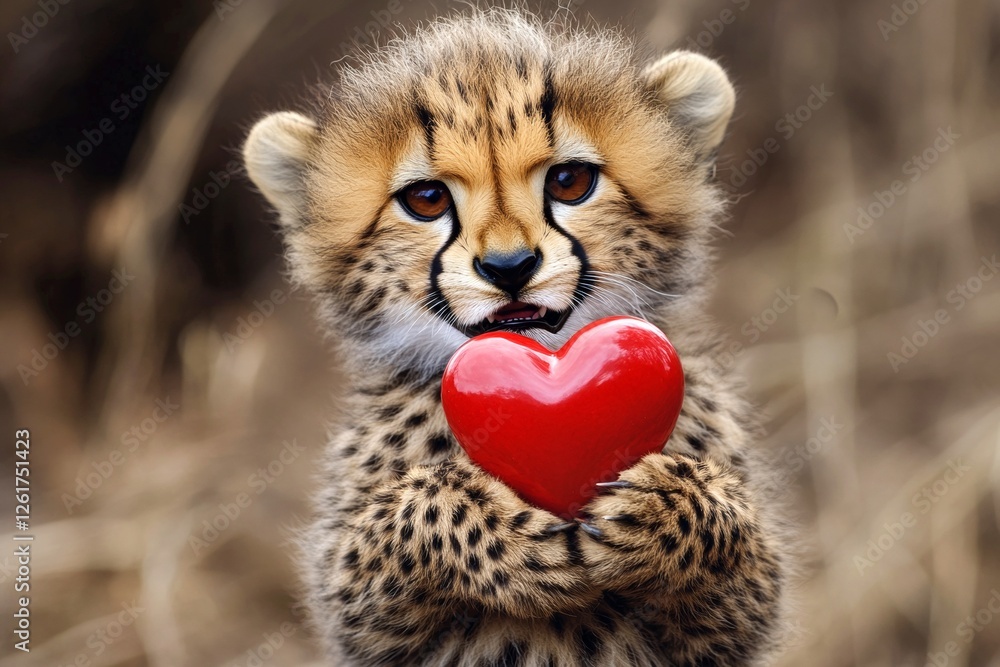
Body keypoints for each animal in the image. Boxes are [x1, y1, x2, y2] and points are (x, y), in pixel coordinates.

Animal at [243, 9, 789, 666]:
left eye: (570, 181)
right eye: (426, 199)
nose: (509, 266)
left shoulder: (739, 615)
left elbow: (728, 529)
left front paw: (657, 507)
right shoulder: (355, 613)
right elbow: (413, 511)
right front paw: (511, 537)